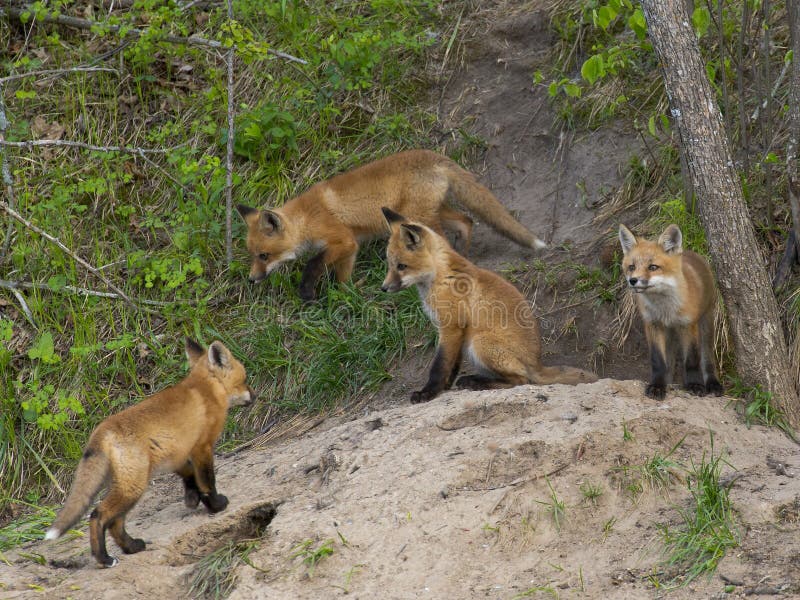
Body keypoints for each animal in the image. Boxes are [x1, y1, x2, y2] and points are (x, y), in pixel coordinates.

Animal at [44, 338, 254, 568]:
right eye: (245, 379)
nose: (255, 396)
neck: (205, 388)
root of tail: (100, 431)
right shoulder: (202, 447)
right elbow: (207, 481)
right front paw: (215, 505)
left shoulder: (176, 453)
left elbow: (190, 476)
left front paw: (192, 499)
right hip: (134, 486)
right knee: (98, 515)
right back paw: (104, 558)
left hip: (125, 484)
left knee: (115, 523)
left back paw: (131, 547)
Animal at [237, 149, 546, 301]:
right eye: (253, 256)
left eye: (263, 255)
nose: (251, 279)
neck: (307, 218)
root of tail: (436, 156)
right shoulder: (351, 247)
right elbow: (343, 277)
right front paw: (347, 295)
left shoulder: (341, 240)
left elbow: (313, 264)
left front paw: (308, 293)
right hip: (427, 212)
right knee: (466, 221)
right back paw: (464, 256)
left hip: (417, 217)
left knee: (446, 238)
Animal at [380, 207, 597, 402]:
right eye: (390, 266)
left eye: (401, 266)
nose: (383, 288)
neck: (441, 276)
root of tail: (538, 364)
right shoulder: (457, 331)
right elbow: (453, 363)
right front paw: (446, 386)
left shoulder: (451, 326)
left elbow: (439, 365)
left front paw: (429, 392)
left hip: (480, 342)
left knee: (522, 380)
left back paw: (477, 382)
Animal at [618, 223, 723, 400]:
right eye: (631, 267)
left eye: (653, 267)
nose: (633, 280)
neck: (666, 310)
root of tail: (691, 252)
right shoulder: (653, 324)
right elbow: (658, 361)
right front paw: (658, 386)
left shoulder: (688, 325)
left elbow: (691, 360)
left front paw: (694, 385)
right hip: (668, 333)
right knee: (670, 362)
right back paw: (667, 382)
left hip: (706, 323)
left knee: (707, 359)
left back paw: (712, 383)